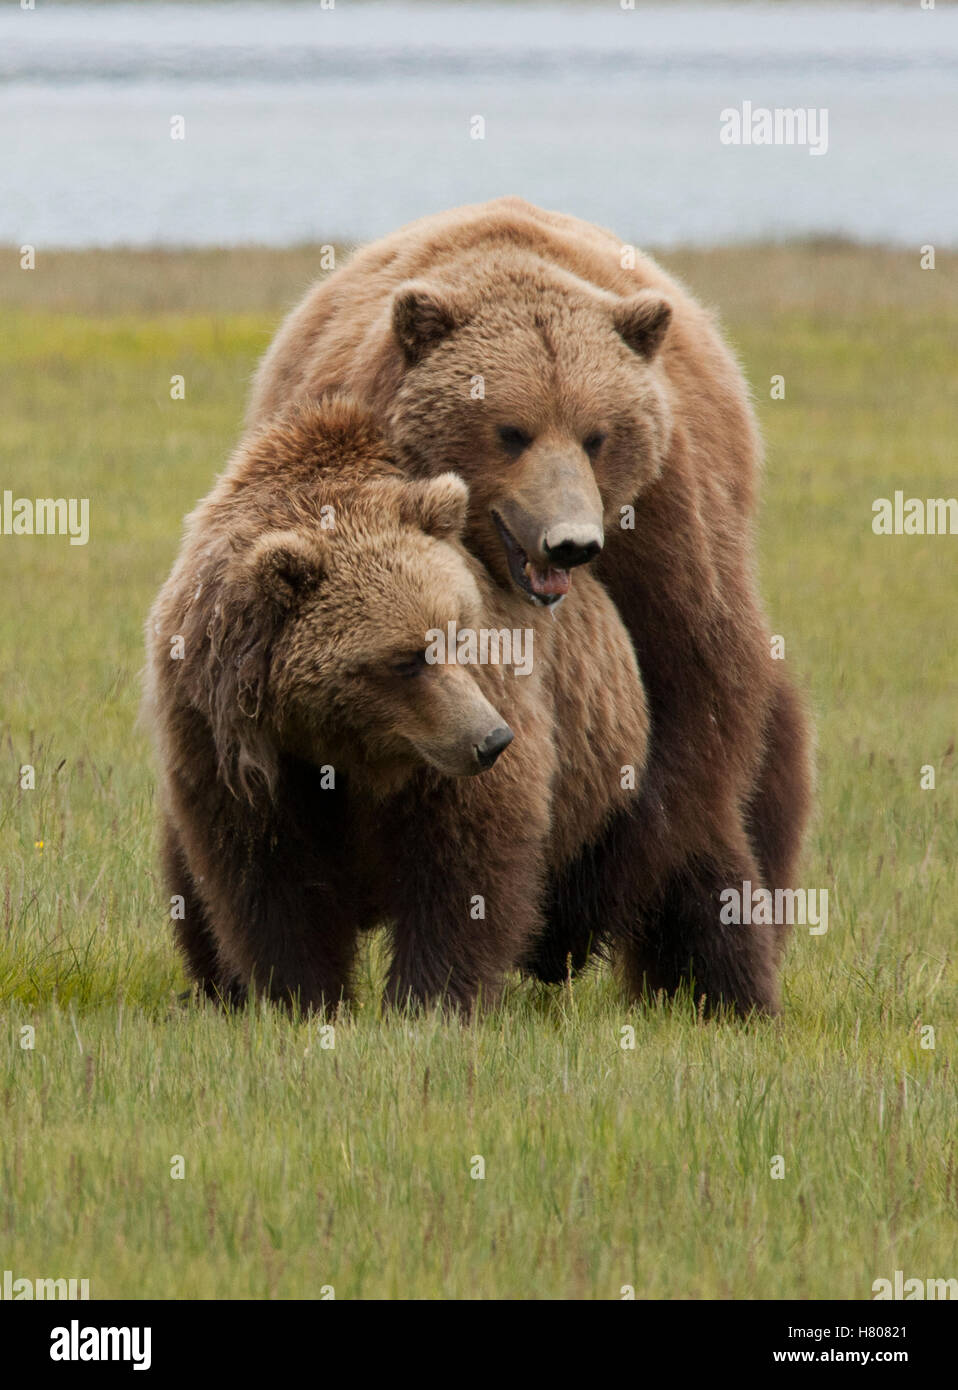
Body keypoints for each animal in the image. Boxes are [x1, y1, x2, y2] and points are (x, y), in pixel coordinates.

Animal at [144, 396, 649, 1014]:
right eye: (408, 658)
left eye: (459, 634)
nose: (491, 740)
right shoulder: (224, 740)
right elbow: (264, 877)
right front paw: (300, 996)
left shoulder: (460, 734)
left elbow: (464, 862)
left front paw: (429, 1000)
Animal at [246, 196, 813, 1016]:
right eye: (510, 430)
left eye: (597, 434)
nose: (570, 543)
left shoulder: (661, 531)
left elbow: (690, 704)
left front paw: (562, 929)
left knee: (727, 834)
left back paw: (726, 991)